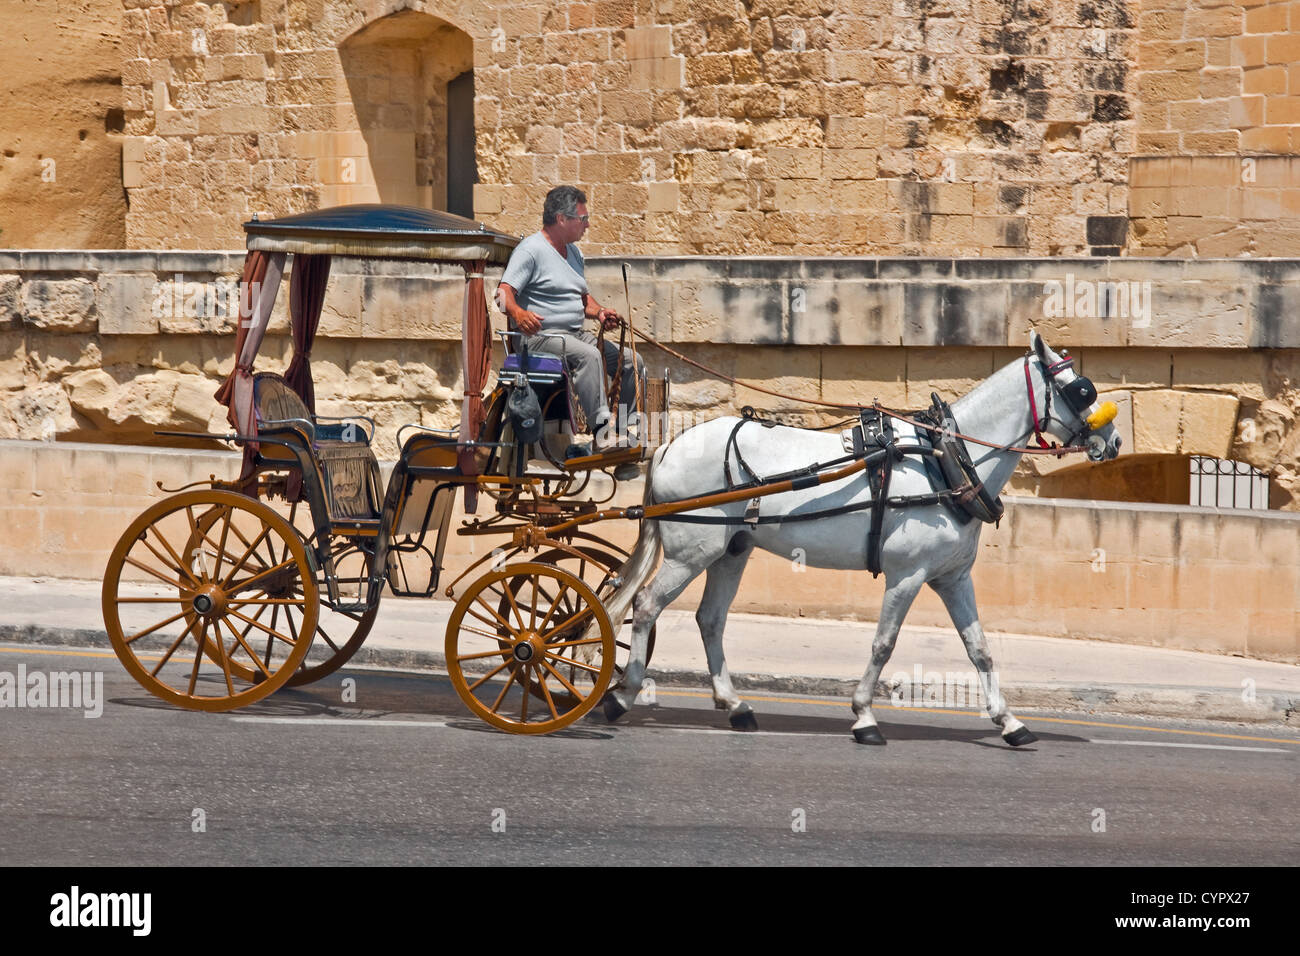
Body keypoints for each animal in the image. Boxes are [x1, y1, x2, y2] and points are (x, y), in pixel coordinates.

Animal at [597, 332, 1123, 746]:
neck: (946, 460)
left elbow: (979, 648)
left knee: (710, 619)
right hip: (691, 552)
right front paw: (864, 716)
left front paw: (1009, 721)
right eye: (1081, 389)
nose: (1114, 440)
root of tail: (669, 445)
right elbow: (883, 644)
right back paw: (623, 695)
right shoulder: (907, 575)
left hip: (731, 550)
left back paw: (735, 704)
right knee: (647, 605)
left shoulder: (952, 577)